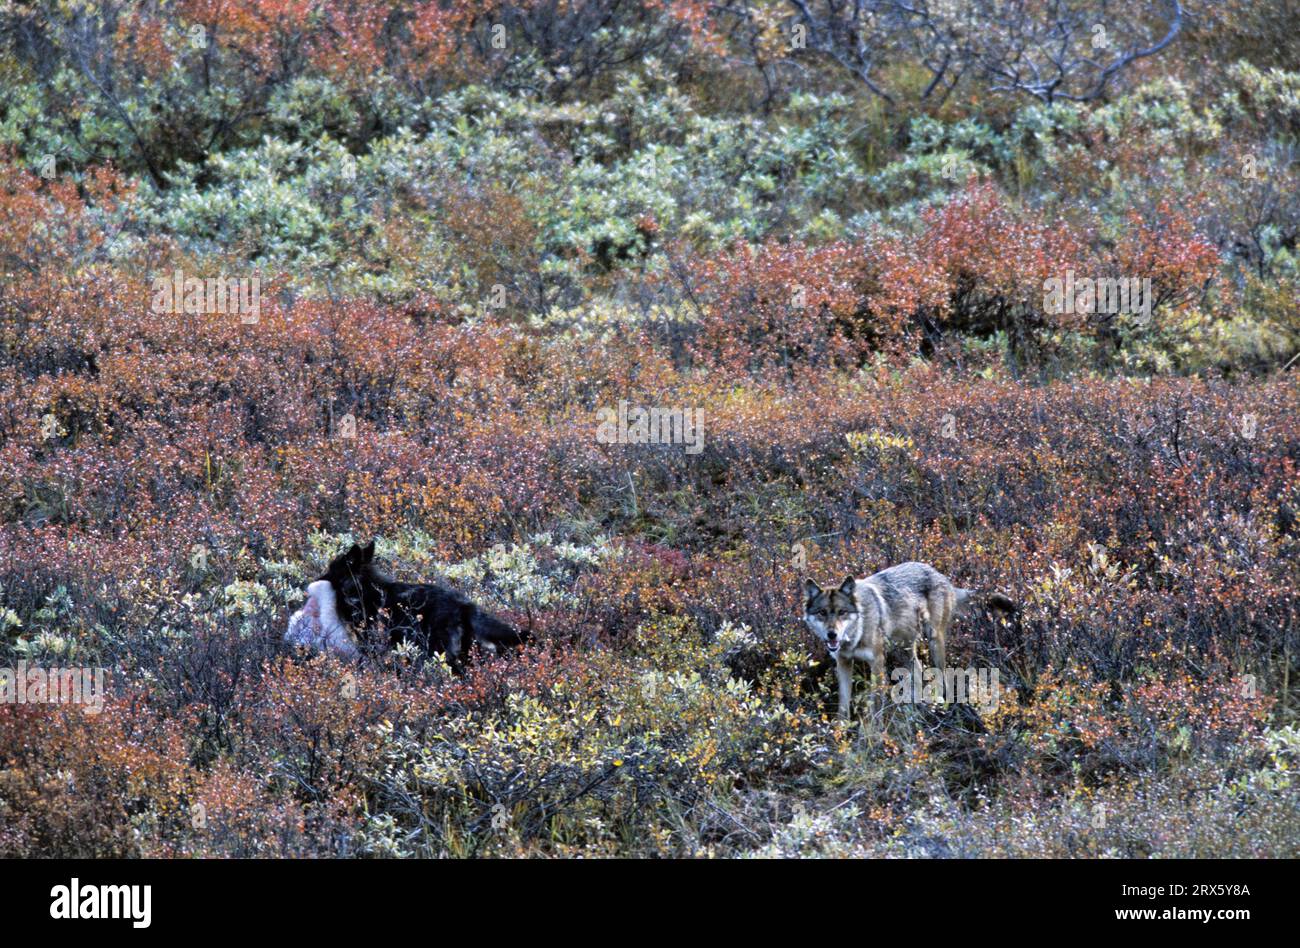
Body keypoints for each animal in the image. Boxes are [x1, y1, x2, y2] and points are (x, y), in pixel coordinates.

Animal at [802, 562, 1015, 720]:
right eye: (822, 613)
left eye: (842, 612)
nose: (832, 635)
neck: (856, 633)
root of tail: (941, 576)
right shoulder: (843, 663)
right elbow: (843, 704)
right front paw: (841, 732)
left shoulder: (877, 662)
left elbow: (875, 704)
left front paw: (872, 735)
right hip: (906, 650)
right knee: (919, 674)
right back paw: (918, 708)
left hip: (934, 642)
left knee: (941, 677)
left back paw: (938, 706)